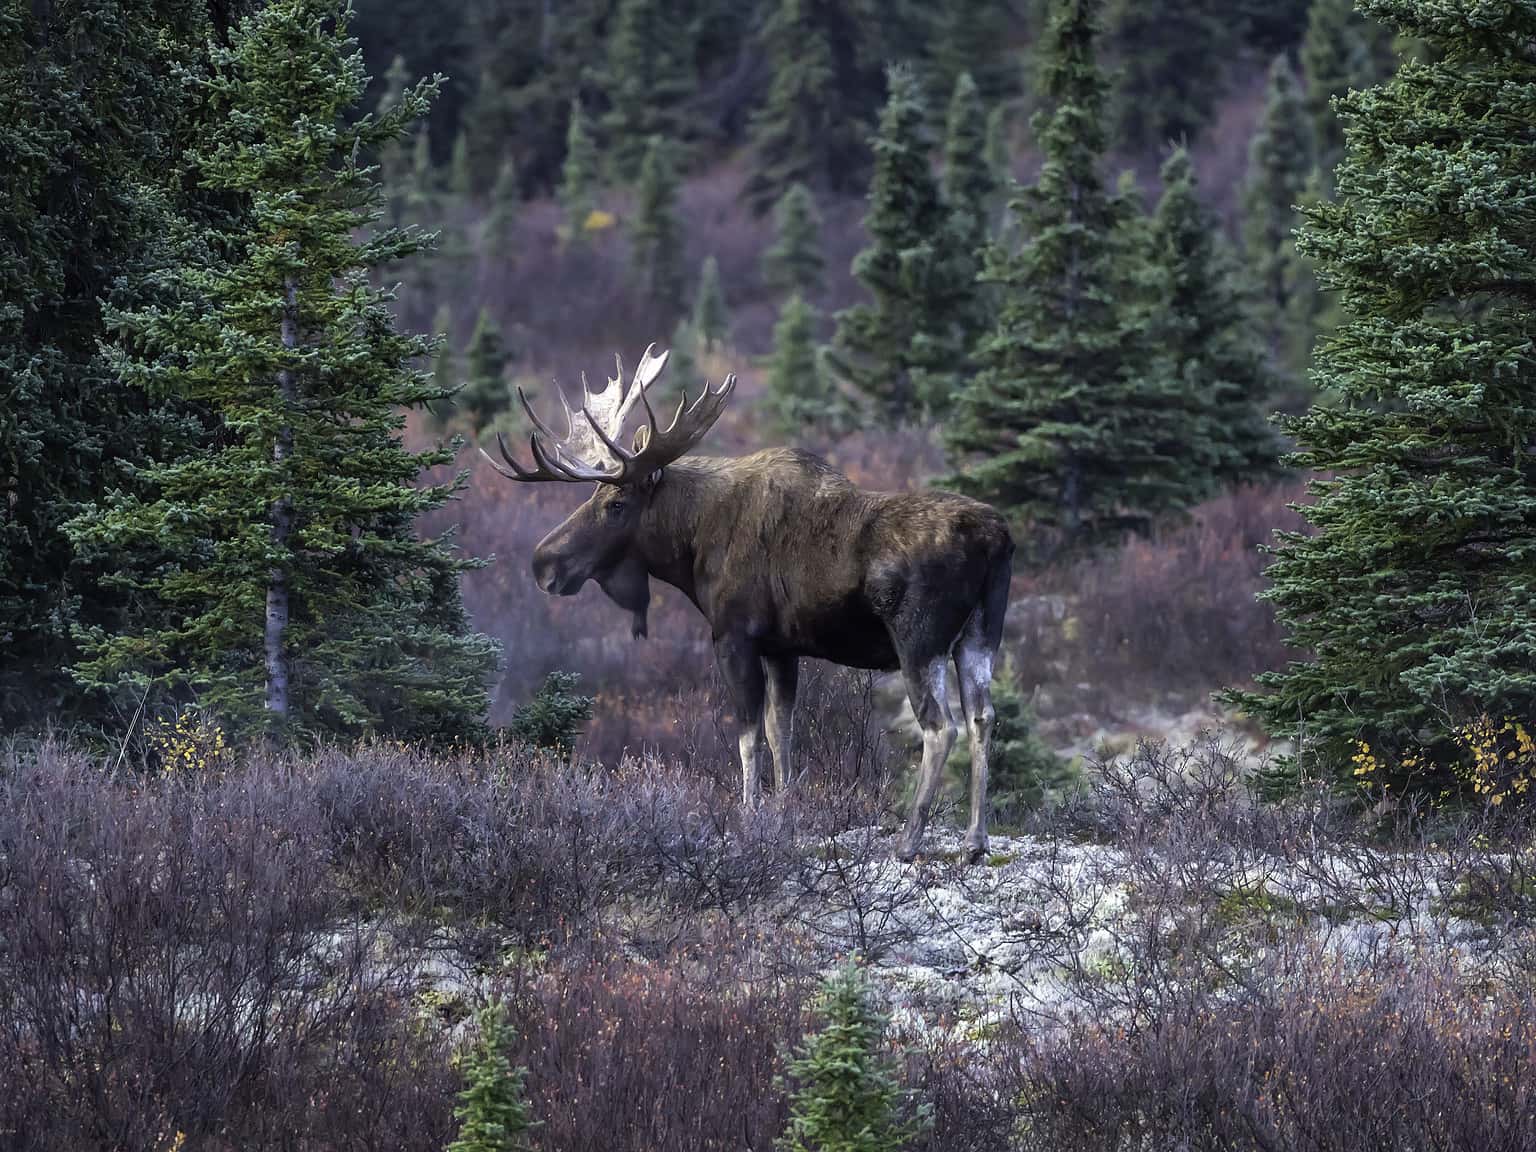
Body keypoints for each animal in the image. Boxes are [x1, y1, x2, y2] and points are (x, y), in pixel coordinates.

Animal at [481, 346, 1014, 862]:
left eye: (615, 505)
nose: (544, 563)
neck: (691, 545)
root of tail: (995, 539)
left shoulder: (734, 635)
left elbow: (747, 734)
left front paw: (750, 814)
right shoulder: (782, 647)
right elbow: (781, 730)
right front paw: (783, 811)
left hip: (919, 640)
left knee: (940, 727)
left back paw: (910, 839)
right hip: (981, 634)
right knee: (983, 718)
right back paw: (975, 839)